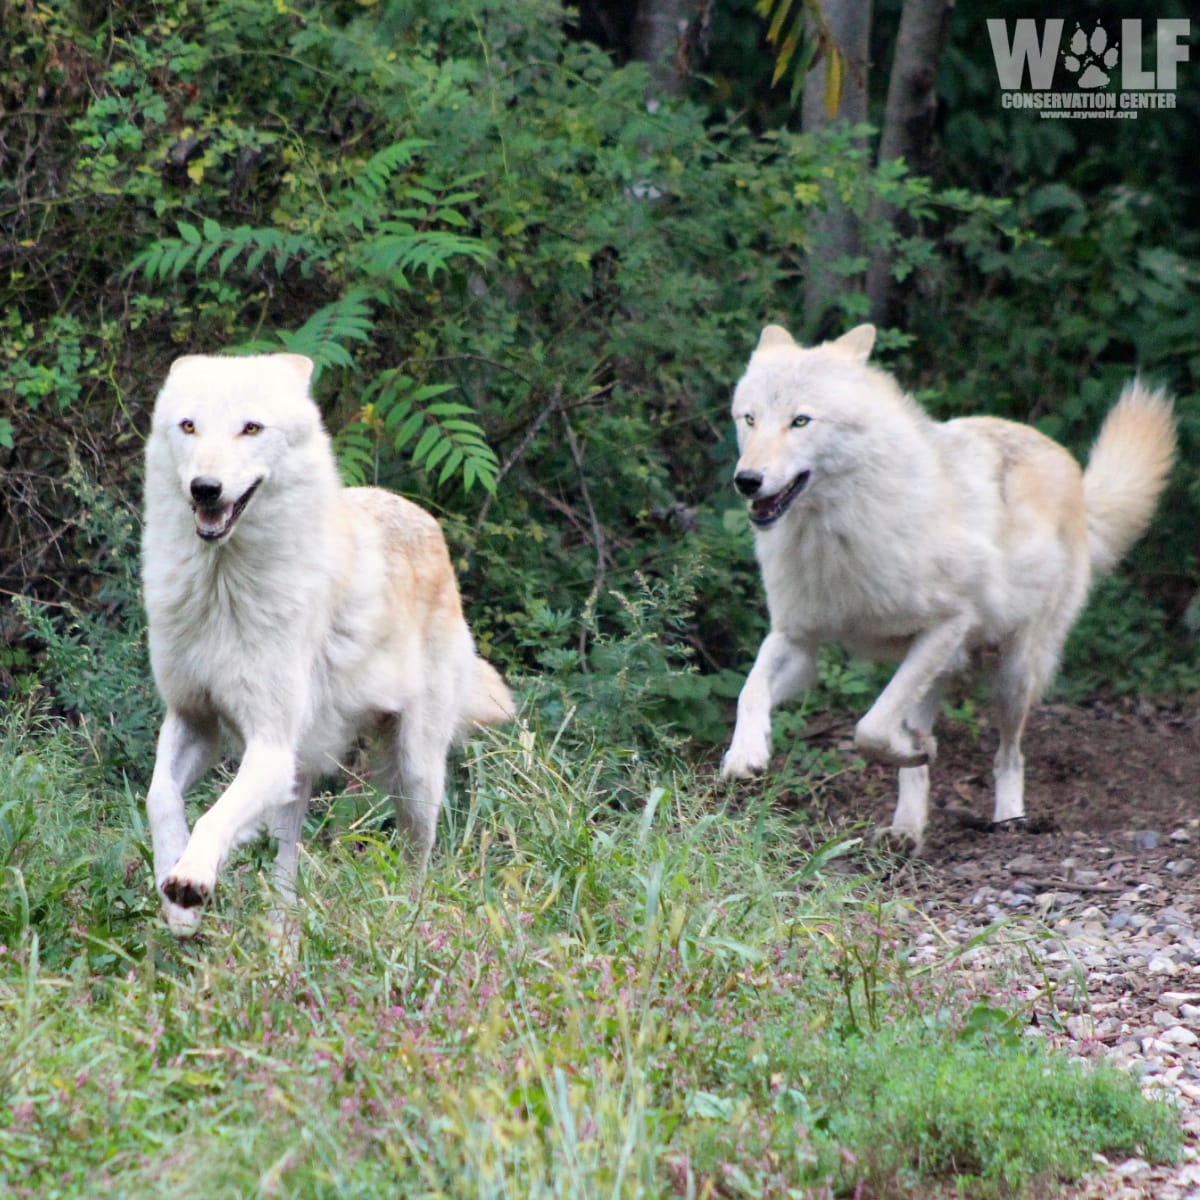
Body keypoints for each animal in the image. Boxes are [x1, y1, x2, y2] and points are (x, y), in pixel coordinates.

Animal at [141, 353, 513, 934]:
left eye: (251, 428)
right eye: (189, 426)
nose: (205, 488)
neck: (224, 591)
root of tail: (420, 514)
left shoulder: (269, 744)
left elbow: (213, 816)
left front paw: (191, 877)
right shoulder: (194, 718)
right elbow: (159, 797)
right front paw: (176, 900)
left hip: (413, 776)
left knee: (418, 863)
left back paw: (404, 926)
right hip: (297, 782)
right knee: (286, 876)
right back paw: (281, 943)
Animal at [721, 323, 1176, 850]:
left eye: (800, 421)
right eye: (750, 418)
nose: (747, 480)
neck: (835, 531)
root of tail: (1074, 472)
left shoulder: (948, 623)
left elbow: (869, 728)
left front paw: (910, 748)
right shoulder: (797, 641)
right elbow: (750, 690)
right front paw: (744, 755)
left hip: (1012, 674)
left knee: (1009, 756)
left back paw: (1008, 821)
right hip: (941, 667)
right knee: (920, 747)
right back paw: (906, 827)